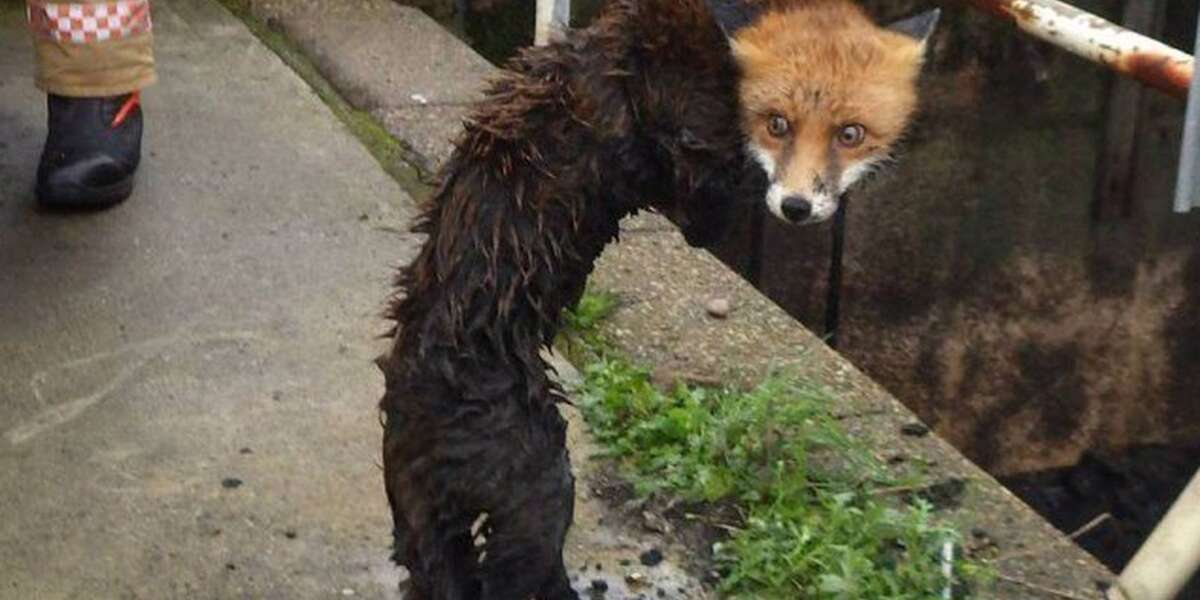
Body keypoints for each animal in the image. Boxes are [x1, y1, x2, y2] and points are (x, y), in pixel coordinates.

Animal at [378, 1, 938, 599]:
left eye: (851, 131)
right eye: (779, 122)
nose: (799, 205)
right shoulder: (698, 161)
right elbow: (722, 184)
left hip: (420, 520)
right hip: (534, 486)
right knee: (523, 568)